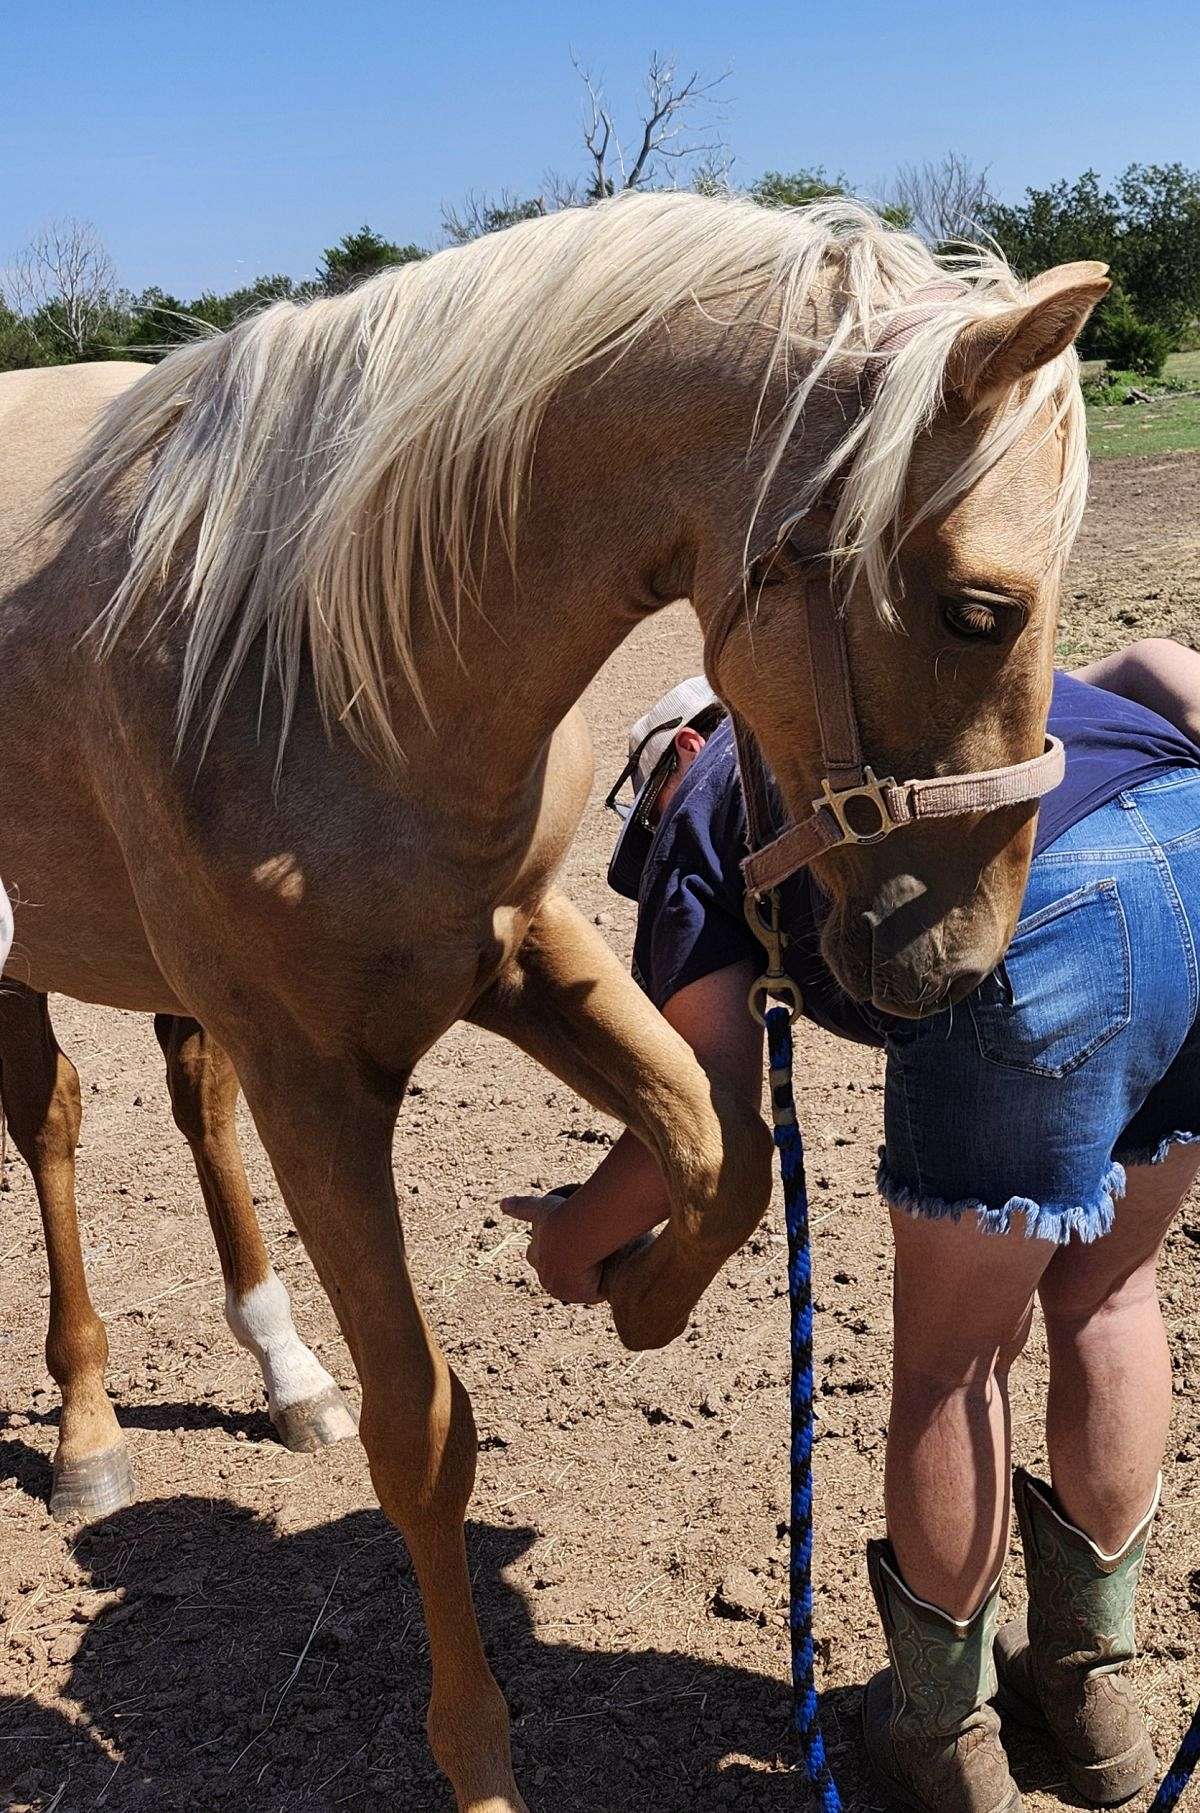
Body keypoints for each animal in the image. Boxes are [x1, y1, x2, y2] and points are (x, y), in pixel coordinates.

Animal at [0, 191, 1106, 1813]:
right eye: (980, 608)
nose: (961, 959)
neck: (321, 650)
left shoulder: (526, 948)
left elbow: (726, 1148)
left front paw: (625, 1287)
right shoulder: (314, 1078)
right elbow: (420, 1430)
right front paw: (479, 1762)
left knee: (189, 1104)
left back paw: (285, 1371)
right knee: (53, 1130)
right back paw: (86, 1433)